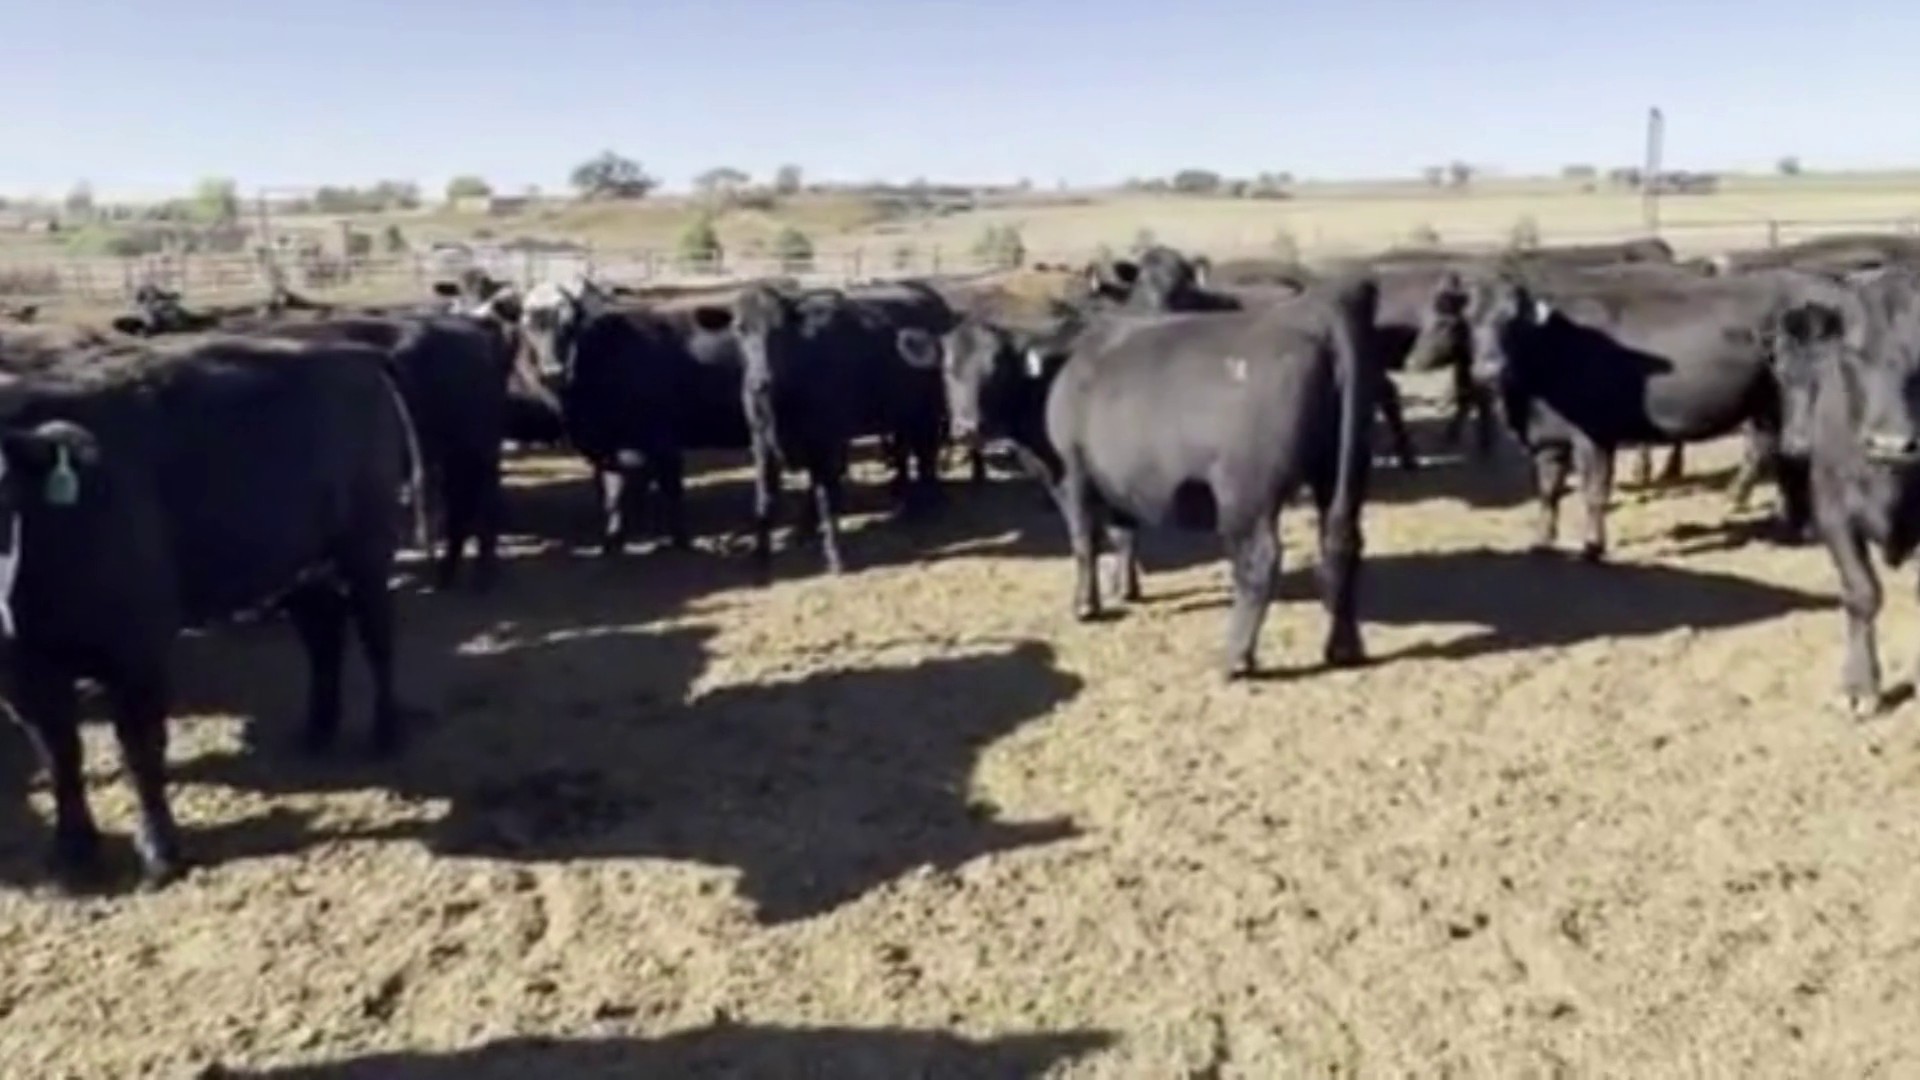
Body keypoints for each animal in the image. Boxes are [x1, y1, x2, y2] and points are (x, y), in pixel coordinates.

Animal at [0, 334, 425, 888]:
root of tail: (349, 351)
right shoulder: (22, 674)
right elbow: (59, 756)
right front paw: (73, 849)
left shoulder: (137, 650)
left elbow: (139, 748)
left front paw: (161, 849)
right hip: (297, 566)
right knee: (324, 636)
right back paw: (317, 729)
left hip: (365, 547)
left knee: (376, 636)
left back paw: (385, 731)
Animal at [902, 272, 1380, 677]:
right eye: (947, 368)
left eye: (997, 367)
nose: (969, 427)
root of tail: (1312, 312)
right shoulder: (1118, 475)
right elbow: (1123, 534)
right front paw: (1125, 588)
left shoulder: (1074, 475)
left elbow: (1084, 542)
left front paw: (1087, 605)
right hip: (1340, 474)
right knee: (1342, 545)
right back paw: (1343, 647)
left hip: (1245, 494)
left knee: (1260, 561)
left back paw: (1235, 657)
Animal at [1406, 266, 1845, 560]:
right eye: (1467, 320)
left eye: (1512, 321)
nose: (1490, 368)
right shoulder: (1548, 441)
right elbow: (1548, 491)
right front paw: (1542, 542)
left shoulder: (1594, 436)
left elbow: (1593, 493)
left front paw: (1592, 548)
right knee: (1783, 457)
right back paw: (1788, 522)